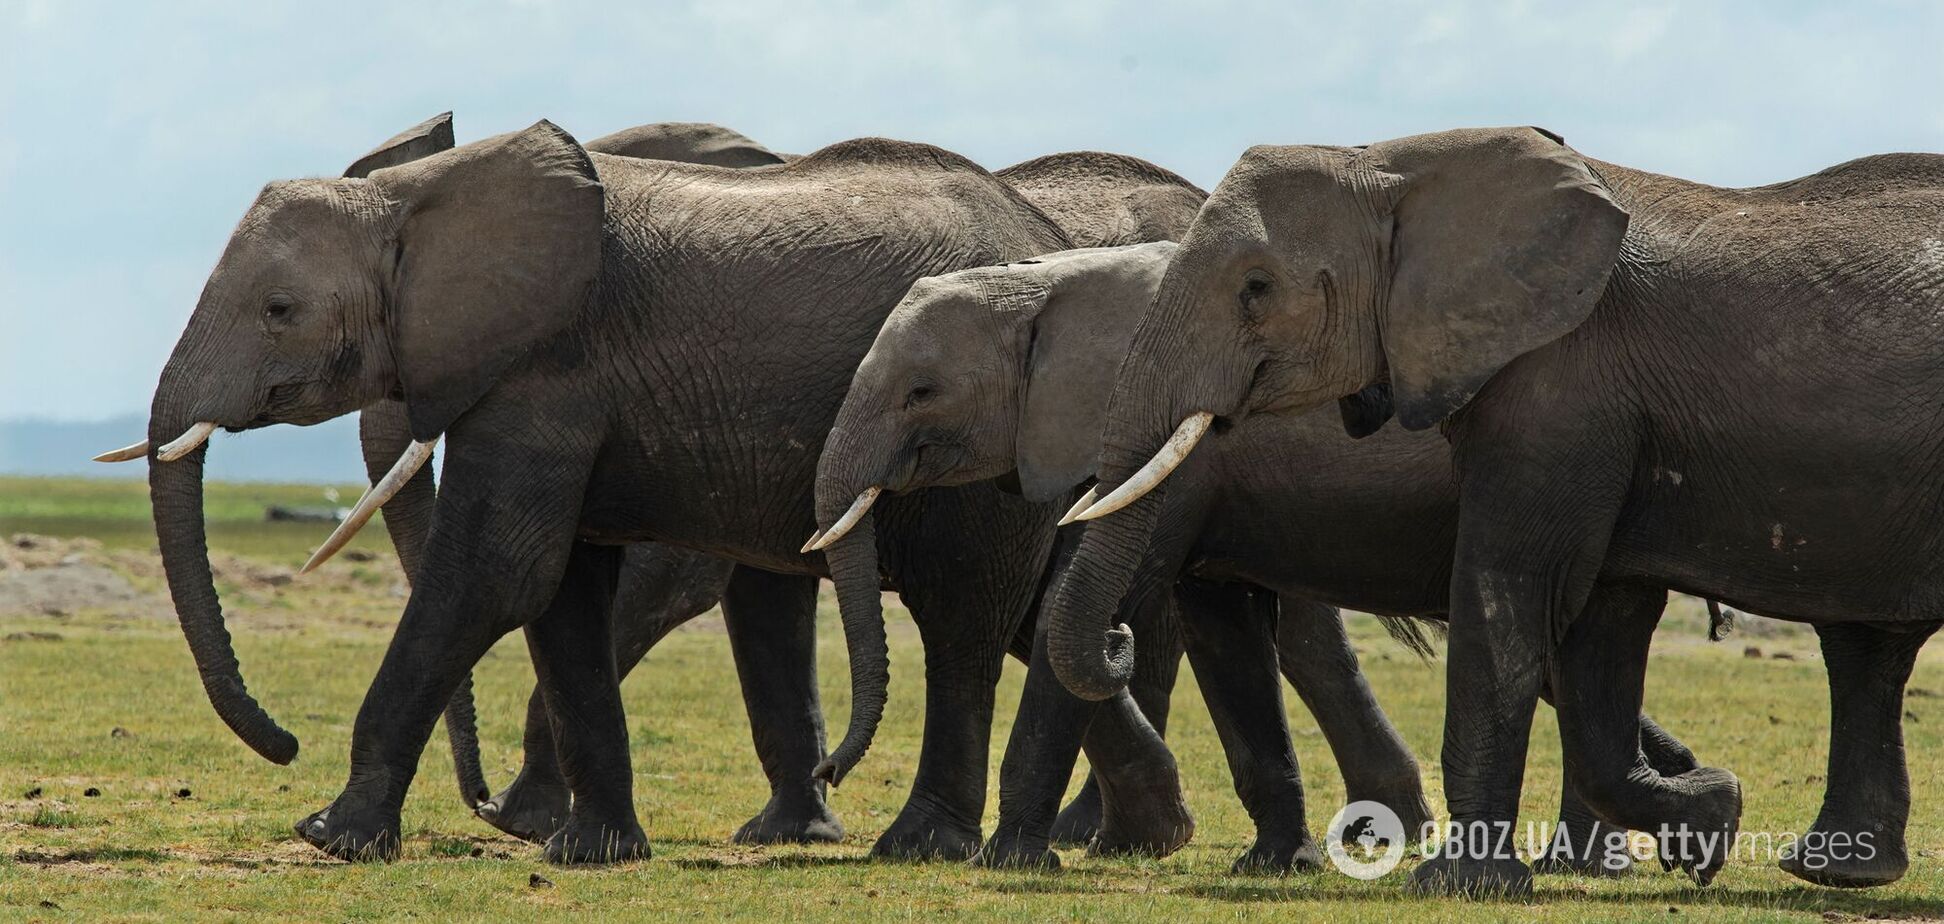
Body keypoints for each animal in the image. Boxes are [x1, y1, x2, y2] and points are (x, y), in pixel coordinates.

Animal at [129, 117, 1228, 867]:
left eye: (279, 309)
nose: (281, 741)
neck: (425, 190)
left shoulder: (550, 372)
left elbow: (495, 573)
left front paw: (334, 835)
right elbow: (562, 588)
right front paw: (591, 852)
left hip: (992, 433)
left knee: (966, 614)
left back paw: (927, 847)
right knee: (1043, 616)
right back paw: (1147, 831)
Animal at [812, 240, 1710, 875]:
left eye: (921, 393)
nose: (829, 771)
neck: (1049, 282)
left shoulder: (1180, 454)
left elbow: (1097, 596)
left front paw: (1013, 863)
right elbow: (1223, 633)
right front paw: (1278, 864)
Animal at [1065, 126, 1944, 894]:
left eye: (1256, 289)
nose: (1116, 638)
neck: (1395, 162)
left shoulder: (1563, 387)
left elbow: (1509, 591)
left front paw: (1457, 885)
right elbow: (1601, 627)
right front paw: (1712, 823)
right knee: (1867, 648)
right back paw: (1834, 871)